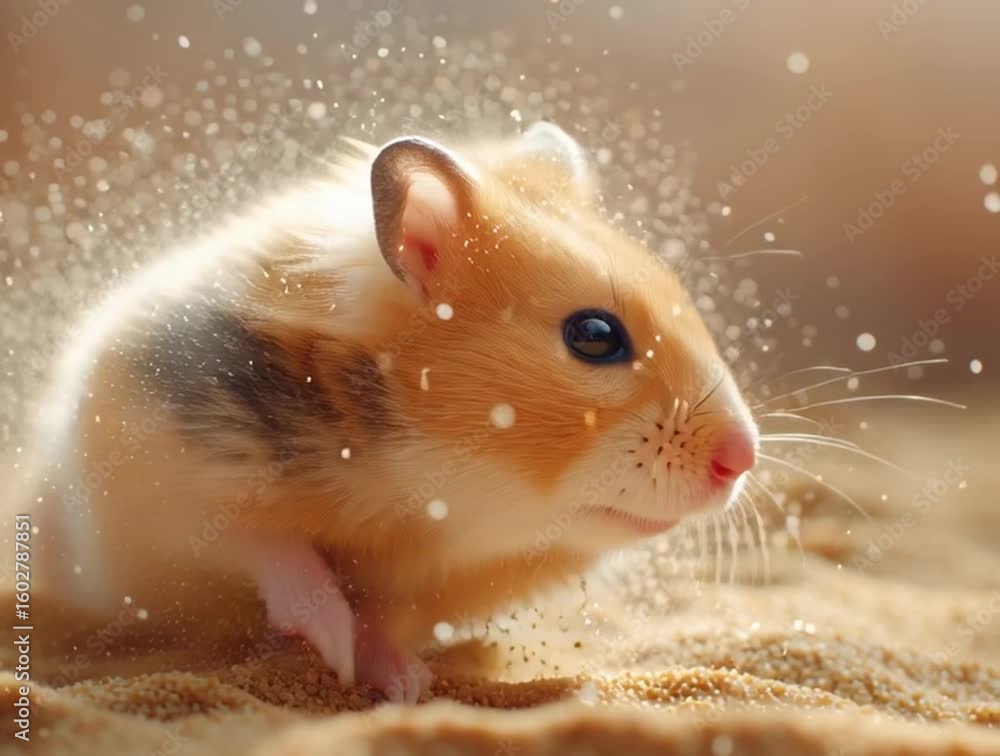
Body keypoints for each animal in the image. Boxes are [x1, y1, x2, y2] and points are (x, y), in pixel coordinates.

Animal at [24, 122, 758, 702]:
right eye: (595, 336)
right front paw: (333, 647)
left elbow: (382, 618)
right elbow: (268, 546)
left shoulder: (423, 591)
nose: (742, 460)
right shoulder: (164, 486)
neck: (419, 486)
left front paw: (404, 686)